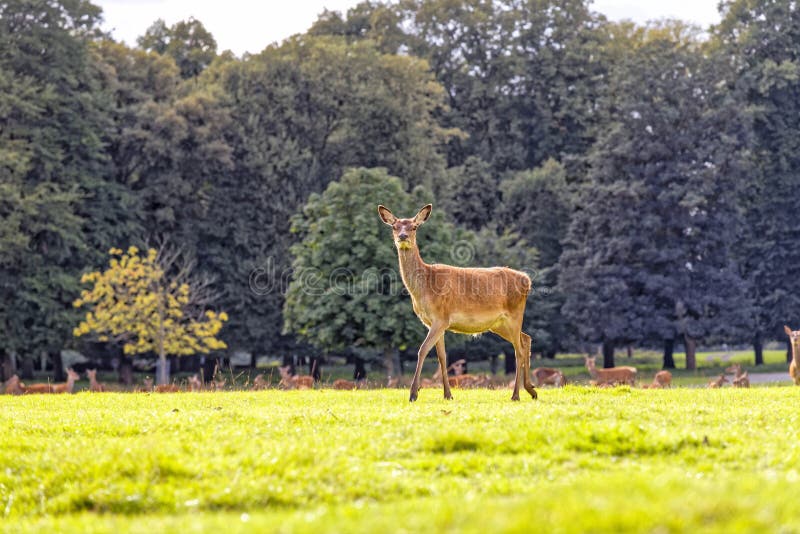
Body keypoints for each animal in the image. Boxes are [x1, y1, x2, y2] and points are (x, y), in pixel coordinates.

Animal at [378, 204, 535, 402]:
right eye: (394, 227)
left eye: (414, 227)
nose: (403, 236)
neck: (424, 288)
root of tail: (528, 280)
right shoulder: (432, 322)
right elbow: (442, 356)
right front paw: (447, 394)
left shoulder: (440, 317)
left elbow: (422, 350)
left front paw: (413, 393)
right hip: (498, 324)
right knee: (526, 339)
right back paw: (531, 389)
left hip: (514, 315)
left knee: (518, 350)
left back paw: (516, 395)